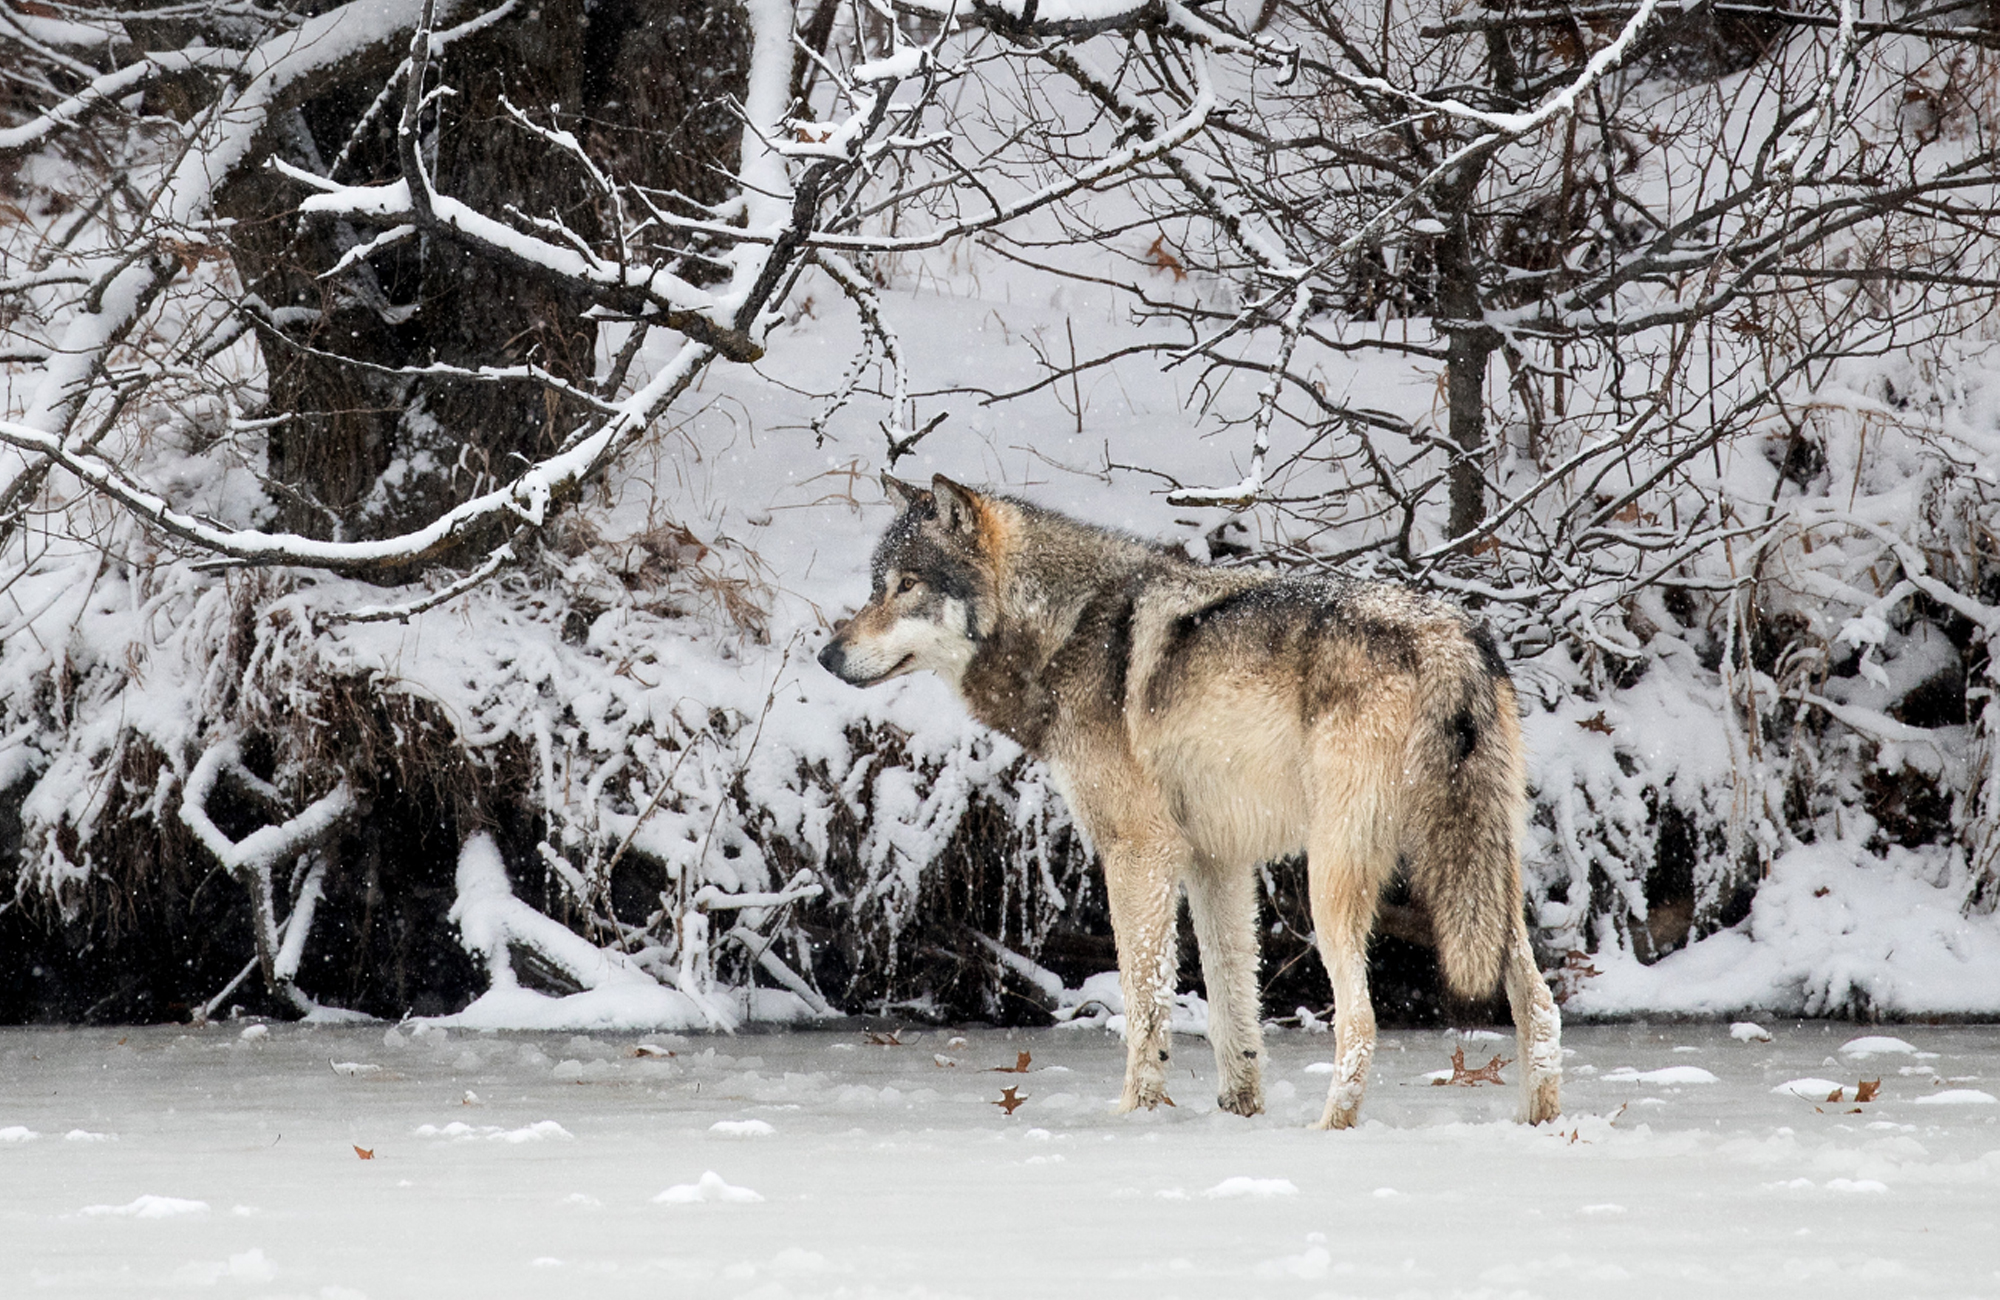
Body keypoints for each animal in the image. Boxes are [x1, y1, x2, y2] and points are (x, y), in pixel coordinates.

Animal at [818, 474, 1561, 1128]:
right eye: (875, 587)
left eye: (907, 587)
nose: (827, 655)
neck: (1066, 629)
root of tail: (1450, 638)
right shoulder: (1215, 862)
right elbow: (1234, 1007)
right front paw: (1237, 1114)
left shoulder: (1139, 851)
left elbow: (1147, 1000)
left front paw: (1136, 1113)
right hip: (1489, 876)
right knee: (1541, 1001)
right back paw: (1540, 1124)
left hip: (1333, 878)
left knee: (1361, 1021)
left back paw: (1329, 1129)